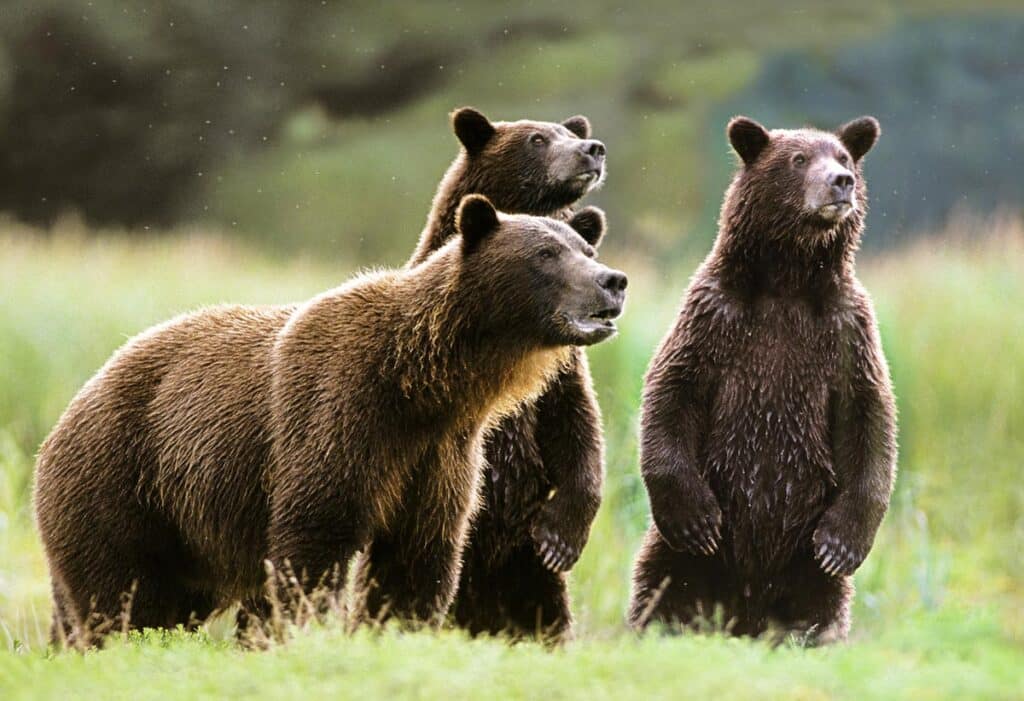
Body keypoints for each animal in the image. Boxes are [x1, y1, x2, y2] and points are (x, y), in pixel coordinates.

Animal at [33, 194, 627, 646]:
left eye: (586, 248)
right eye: (546, 252)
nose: (612, 281)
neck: (422, 384)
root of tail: (62, 418)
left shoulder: (439, 453)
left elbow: (417, 555)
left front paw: (396, 627)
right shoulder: (341, 412)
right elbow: (316, 535)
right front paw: (307, 627)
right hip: (125, 480)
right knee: (121, 593)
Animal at [379, 107, 609, 641]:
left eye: (571, 132)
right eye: (537, 139)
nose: (592, 150)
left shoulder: (559, 368)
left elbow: (577, 425)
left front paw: (561, 536)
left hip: (526, 573)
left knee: (547, 615)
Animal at [627, 116, 897, 644]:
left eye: (843, 156)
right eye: (798, 159)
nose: (841, 182)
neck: (787, 283)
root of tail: (745, 612)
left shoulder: (846, 332)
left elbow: (870, 417)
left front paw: (843, 542)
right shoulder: (714, 319)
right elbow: (672, 390)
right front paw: (696, 519)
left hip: (803, 563)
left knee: (821, 606)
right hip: (683, 560)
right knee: (662, 589)